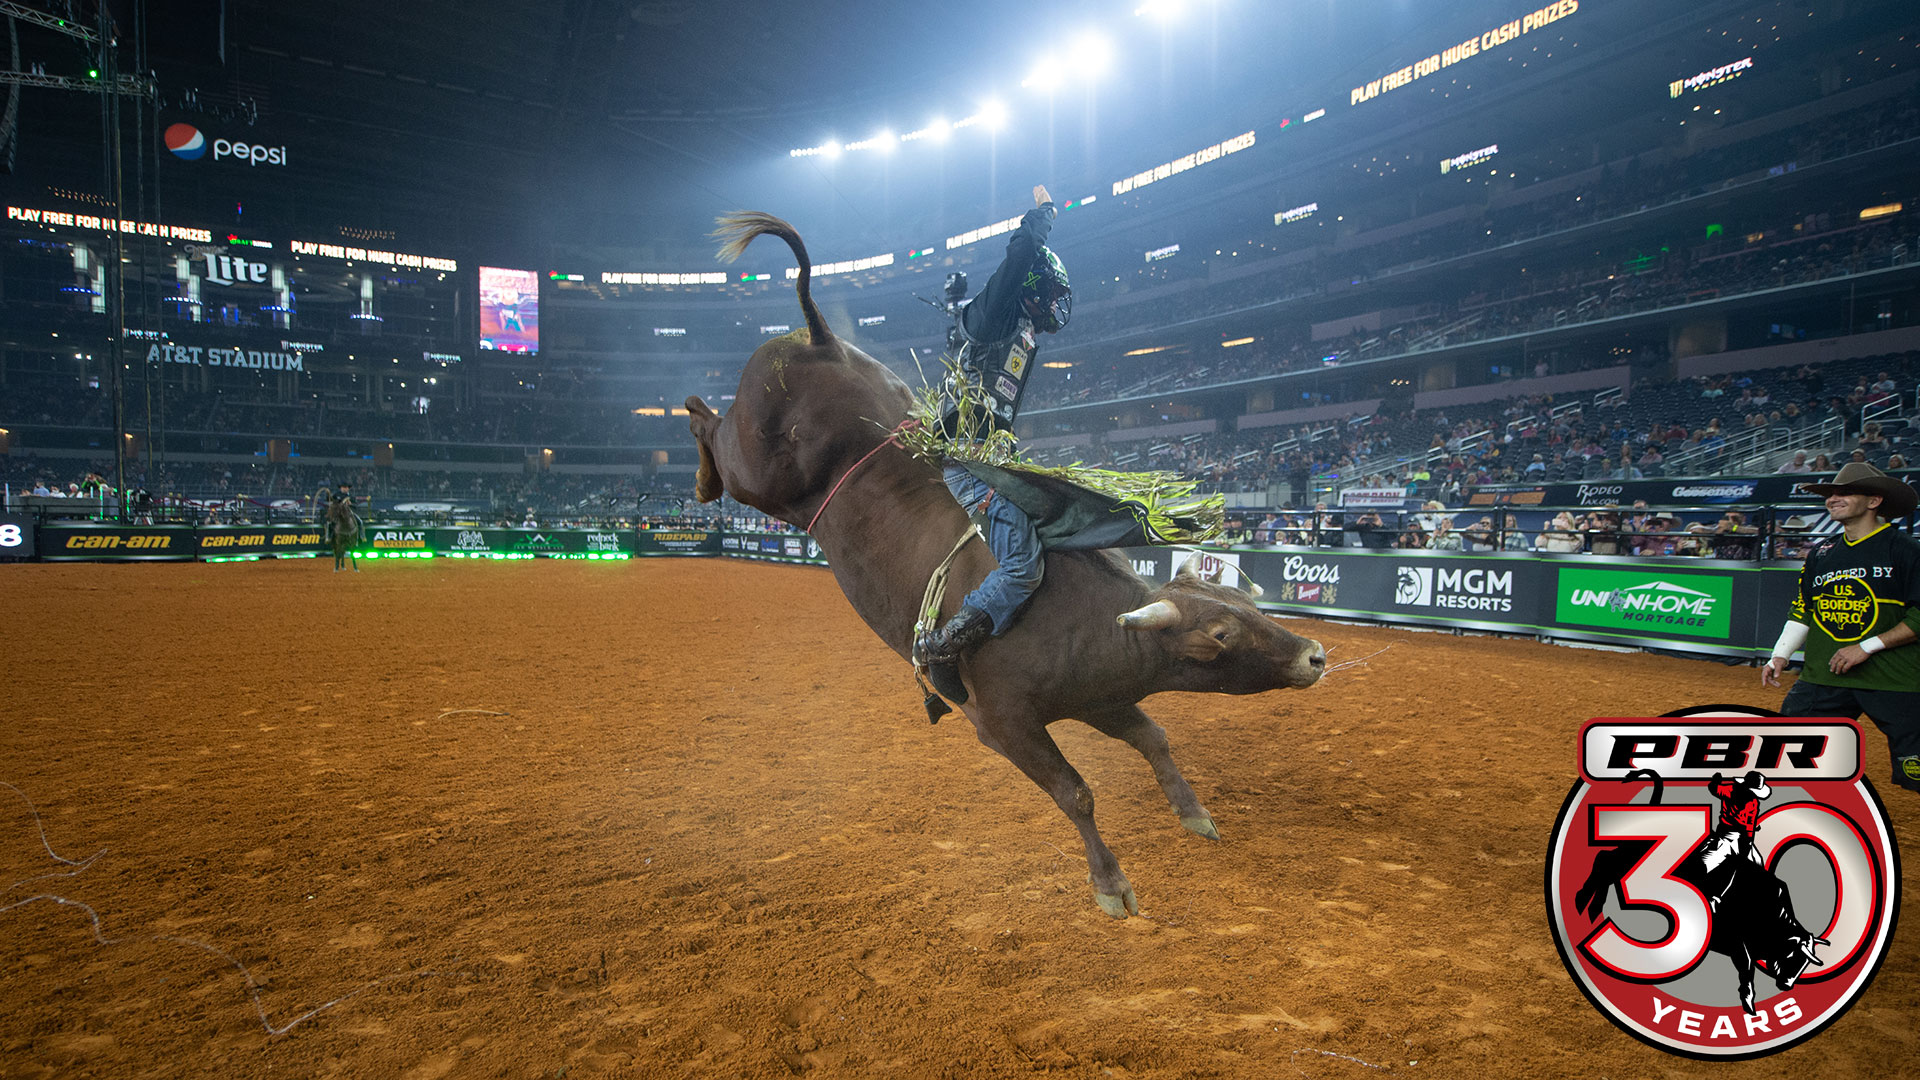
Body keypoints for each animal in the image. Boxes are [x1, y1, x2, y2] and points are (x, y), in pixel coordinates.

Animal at [685, 212, 1326, 918]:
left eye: (1247, 605)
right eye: (1220, 634)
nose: (1316, 655)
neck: (1090, 618)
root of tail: (822, 339)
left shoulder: (1101, 697)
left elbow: (1154, 738)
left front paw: (1195, 815)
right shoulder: (1003, 723)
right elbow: (1076, 791)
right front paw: (1111, 885)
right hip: (759, 464)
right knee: (720, 438)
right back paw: (696, 438)